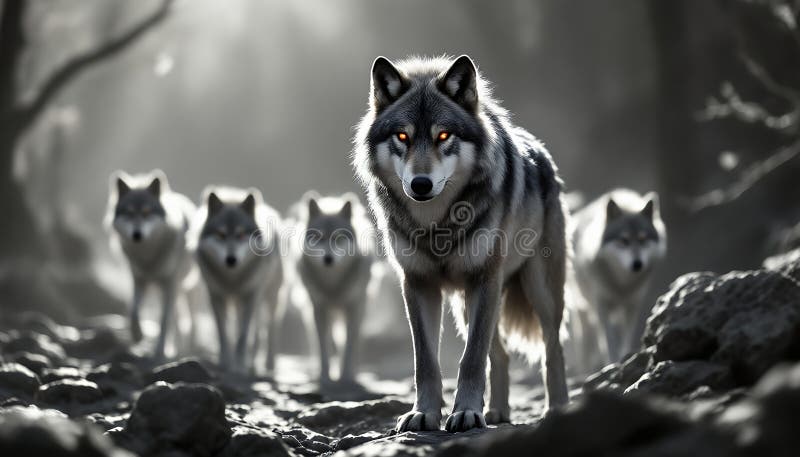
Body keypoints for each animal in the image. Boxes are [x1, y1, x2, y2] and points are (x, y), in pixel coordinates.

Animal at [106, 170, 197, 358]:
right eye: (129, 212)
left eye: (147, 212)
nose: (137, 234)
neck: (147, 256)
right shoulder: (139, 279)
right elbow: (133, 310)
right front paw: (138, 336)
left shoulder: (169, 284)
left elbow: (163, 321)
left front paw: (160, 351)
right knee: (176, 319)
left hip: (188, 290)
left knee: (191, 320)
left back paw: (188, 347)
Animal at [192, 187, 284, 373]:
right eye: (221, 234)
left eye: (241, 234)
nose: (231, 260)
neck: (232, 279)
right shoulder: (216, 297)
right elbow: (223, 334)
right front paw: (225, 362)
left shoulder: (250, 297)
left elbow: (243, 335)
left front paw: (240, 365)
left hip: (269, 297)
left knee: (269, 327)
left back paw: (267, 363)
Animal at [289, 192, 374, 386]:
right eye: (318, 238)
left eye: (339, 238)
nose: (328, 259)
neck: (332, 284)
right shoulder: (318, 308)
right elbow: (323, 346)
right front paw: (325, 377)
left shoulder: (353, 307)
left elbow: (349, 345)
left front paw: (346, 377)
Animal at [353, 55, 570, 432]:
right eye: (402, 136)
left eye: (443, 135)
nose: (420, 184)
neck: (436, 225)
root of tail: (542, 152)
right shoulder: (418, 284)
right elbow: (426, 362)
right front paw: (424, 414)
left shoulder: (483, 279)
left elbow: (471, 359)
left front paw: (466, 412)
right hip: (468, 305)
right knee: (500, 354)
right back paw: (497, 412)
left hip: (537, 291)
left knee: (551, 348)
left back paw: (557, 409)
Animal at [572, 189, 666, 363]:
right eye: (624, 240)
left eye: (643, 239)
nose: (637, 264)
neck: (622, 284)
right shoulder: (602, 306)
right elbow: (609, 341)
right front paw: (613, 361)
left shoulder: (632, 306)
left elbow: (625, 338)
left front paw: (624, 357)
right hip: (583, 311)